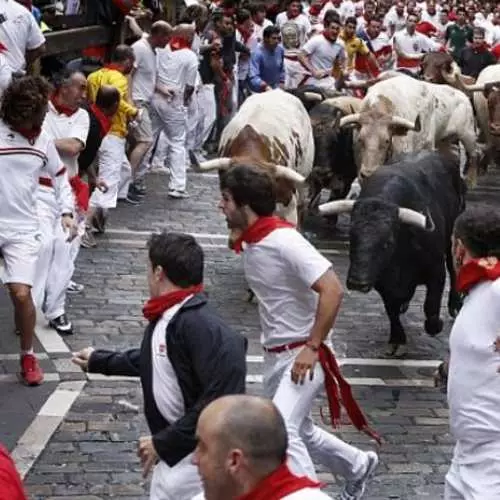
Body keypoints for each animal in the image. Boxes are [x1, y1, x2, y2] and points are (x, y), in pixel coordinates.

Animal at [320, 151, 464, 356]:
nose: (357, 282)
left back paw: (454, 305)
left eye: (387, 243)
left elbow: (431, 306)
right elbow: (391, 309)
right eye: (352, 237)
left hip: (453, 237)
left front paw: (436, 325)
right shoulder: (382, 281)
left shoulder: (436, 272)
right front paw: (397, 340)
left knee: (453, 267)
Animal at [338, 74, 478, 189]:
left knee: (475, 153)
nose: (368, 173)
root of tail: (462, 95)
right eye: (360, 139)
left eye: (387, 140)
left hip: (466, 134)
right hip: (446, 141)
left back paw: (470, 181)